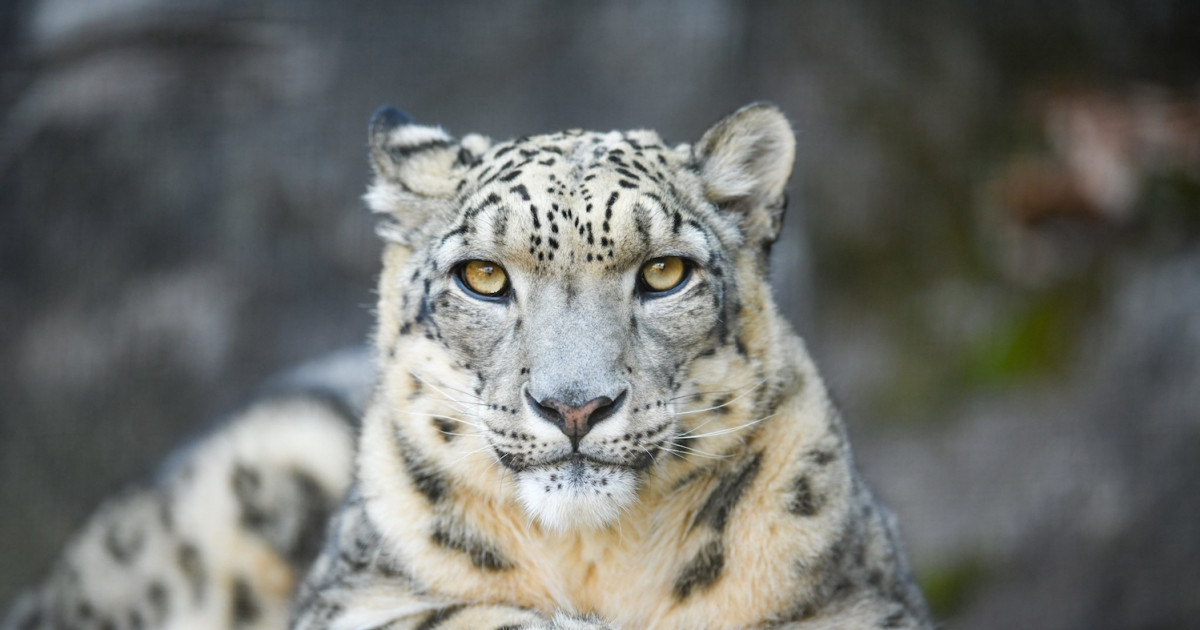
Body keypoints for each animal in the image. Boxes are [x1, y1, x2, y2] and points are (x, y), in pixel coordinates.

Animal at [2, 103, 932, 630]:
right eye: (483, 277)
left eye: (664, 272)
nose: (575, 406)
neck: (597, 558)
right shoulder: (353, 600)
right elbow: (457, 619)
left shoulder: (864, 603)